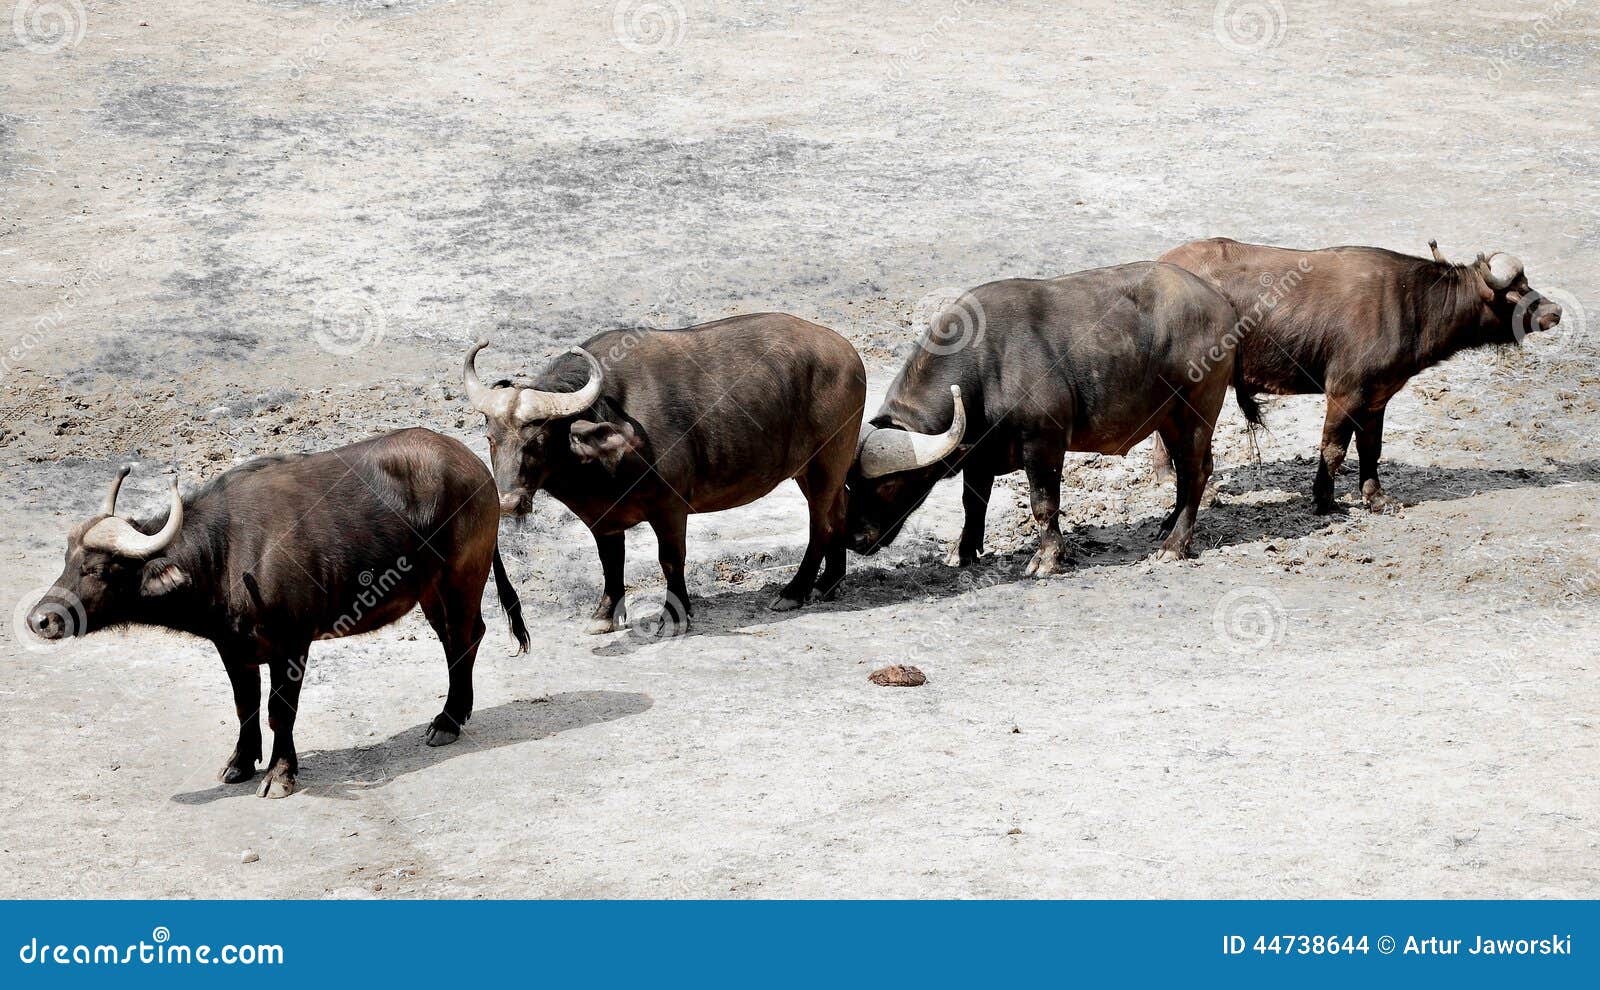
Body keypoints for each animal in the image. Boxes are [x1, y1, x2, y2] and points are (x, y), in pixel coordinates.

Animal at [25, 429, 529, 798]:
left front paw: (280, 773)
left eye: (97, 568)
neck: (225, 555)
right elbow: (245, 705)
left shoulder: (292, 645)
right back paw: (454, 714)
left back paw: (448, 721)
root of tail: (477, 470)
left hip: (462, 577)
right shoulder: (233, 649)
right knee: (455, 639)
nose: (41, 619)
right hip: (430, 590)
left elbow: (279, 711)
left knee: (466, 635)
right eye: (66, 559)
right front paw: (241, 762)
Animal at [464, 313, 866, 634]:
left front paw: (675, 615)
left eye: (539, 439)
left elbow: (671, 558)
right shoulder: (603, 519)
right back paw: (828, 583)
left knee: (821, 523)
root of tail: (847, 353)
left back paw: (794, 591)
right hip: (811, 469)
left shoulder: (670, 508)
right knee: (840, 509)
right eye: (490, 438)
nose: (509, 503)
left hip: (827, 462)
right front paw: (604, 615)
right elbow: (610, 562)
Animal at [847, 262, 1261, 573]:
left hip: (1197, 410)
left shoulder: (1043, 443)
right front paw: (963, 551)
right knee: (1184, 470)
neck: (987, 367)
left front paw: (1047, 558)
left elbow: (1043, 503)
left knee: (1196, 470)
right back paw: (1166, 527)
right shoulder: (979, 457)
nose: (855, 539)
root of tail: (1221, 305)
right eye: (850, 484)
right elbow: (972, 502)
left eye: (888, 484)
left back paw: (1175, 545)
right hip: (1170, 418)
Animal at [1155, 237, 1563, 513]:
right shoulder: (1344, 392)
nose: (1555, 311)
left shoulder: (1377, 396)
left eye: (1527, 285)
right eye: (1517, 292)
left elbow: (1371, 448)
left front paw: (1376, 497)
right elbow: (1333, 448)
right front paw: (1324, 500)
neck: (1412, 303)